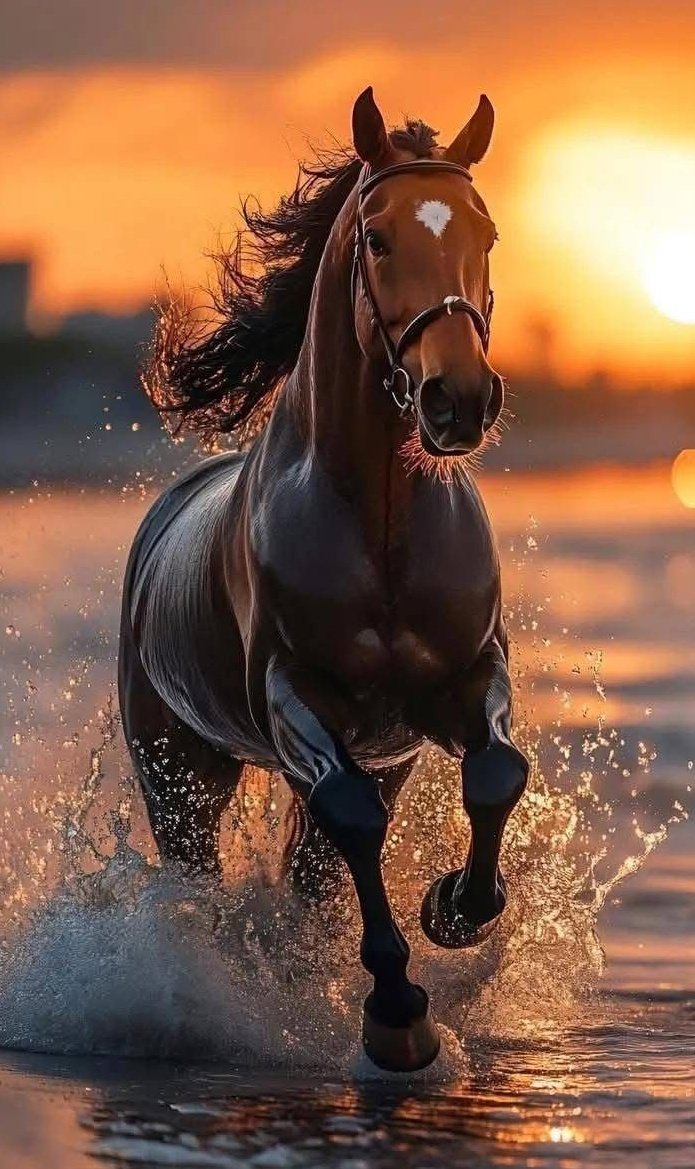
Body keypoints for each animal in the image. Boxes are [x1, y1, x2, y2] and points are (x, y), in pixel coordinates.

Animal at [119, 87, 529, 1073]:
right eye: (377, 238)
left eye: (485, 231)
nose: (459, 399)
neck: (377, 524)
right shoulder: (293, 693)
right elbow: (350, 819)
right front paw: (396, 1014)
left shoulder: (465, 680)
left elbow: (496, 772)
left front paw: (454, 909)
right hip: (180, 772)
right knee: (211, 865)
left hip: (381, 759)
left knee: (317, 868)